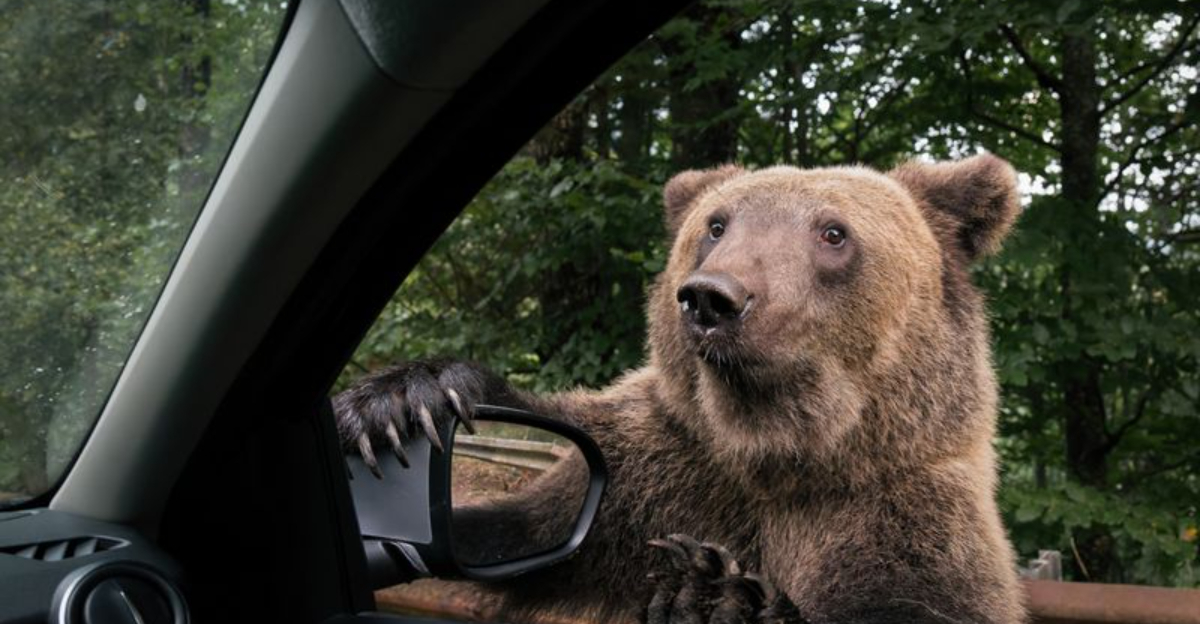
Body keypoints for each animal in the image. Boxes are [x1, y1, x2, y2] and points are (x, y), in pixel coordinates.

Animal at [334, 154, 1027, 624]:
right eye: (717, 224)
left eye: (834, 232)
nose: (713, 297)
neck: (772, 450)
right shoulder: (644, 477)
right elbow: (516, 529)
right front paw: (400, 403)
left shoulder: (901, 525)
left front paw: (717, 595)